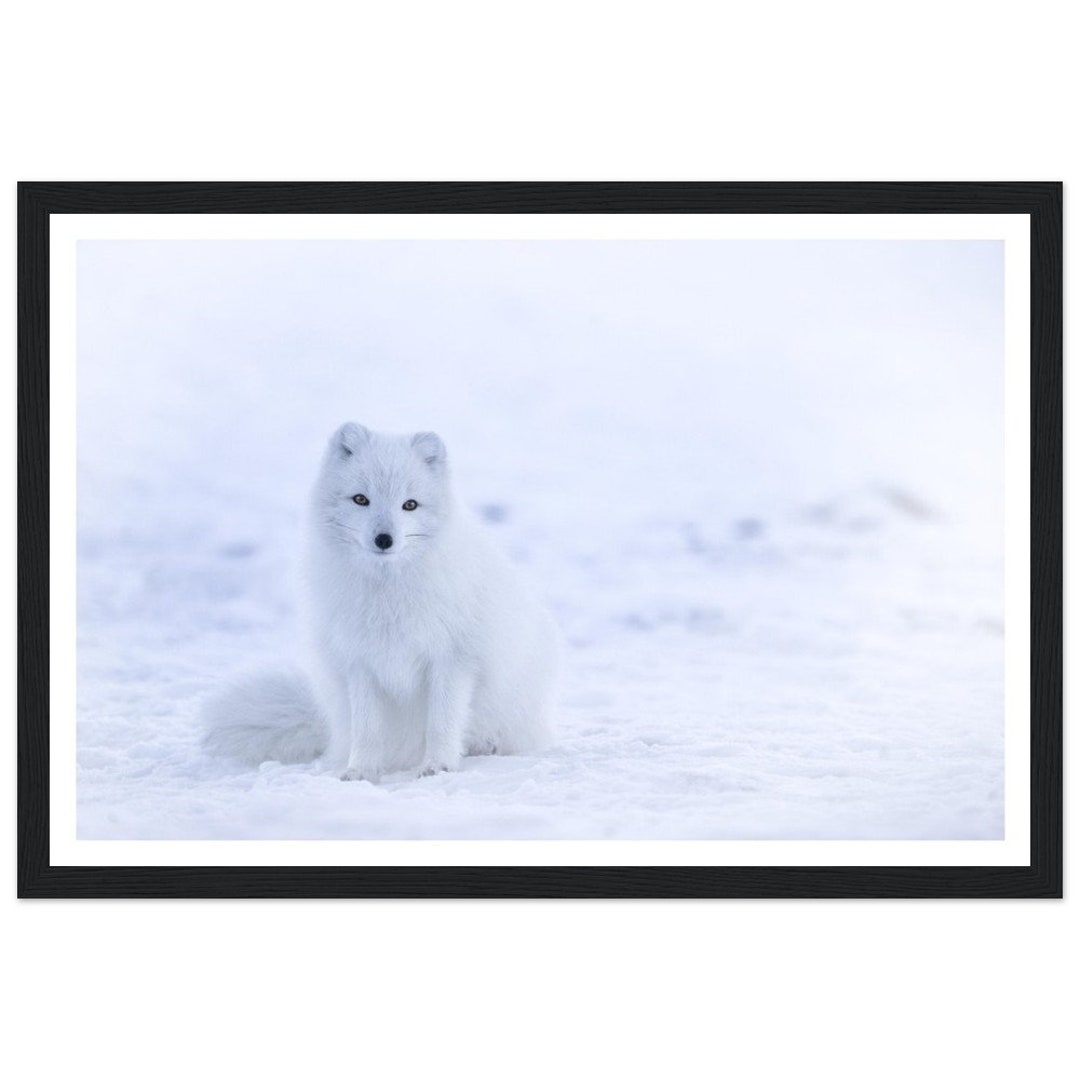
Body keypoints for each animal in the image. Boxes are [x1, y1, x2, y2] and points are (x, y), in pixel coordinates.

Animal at [202, 423, 559, 781]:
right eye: (361, 499)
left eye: (410, 505)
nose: (384, 539)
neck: (387, 594)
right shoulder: (360, 662)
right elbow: (368, 729)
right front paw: (360, 771)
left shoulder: (453, 659)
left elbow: (441, 723)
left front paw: (438, 766)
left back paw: (485, 746)